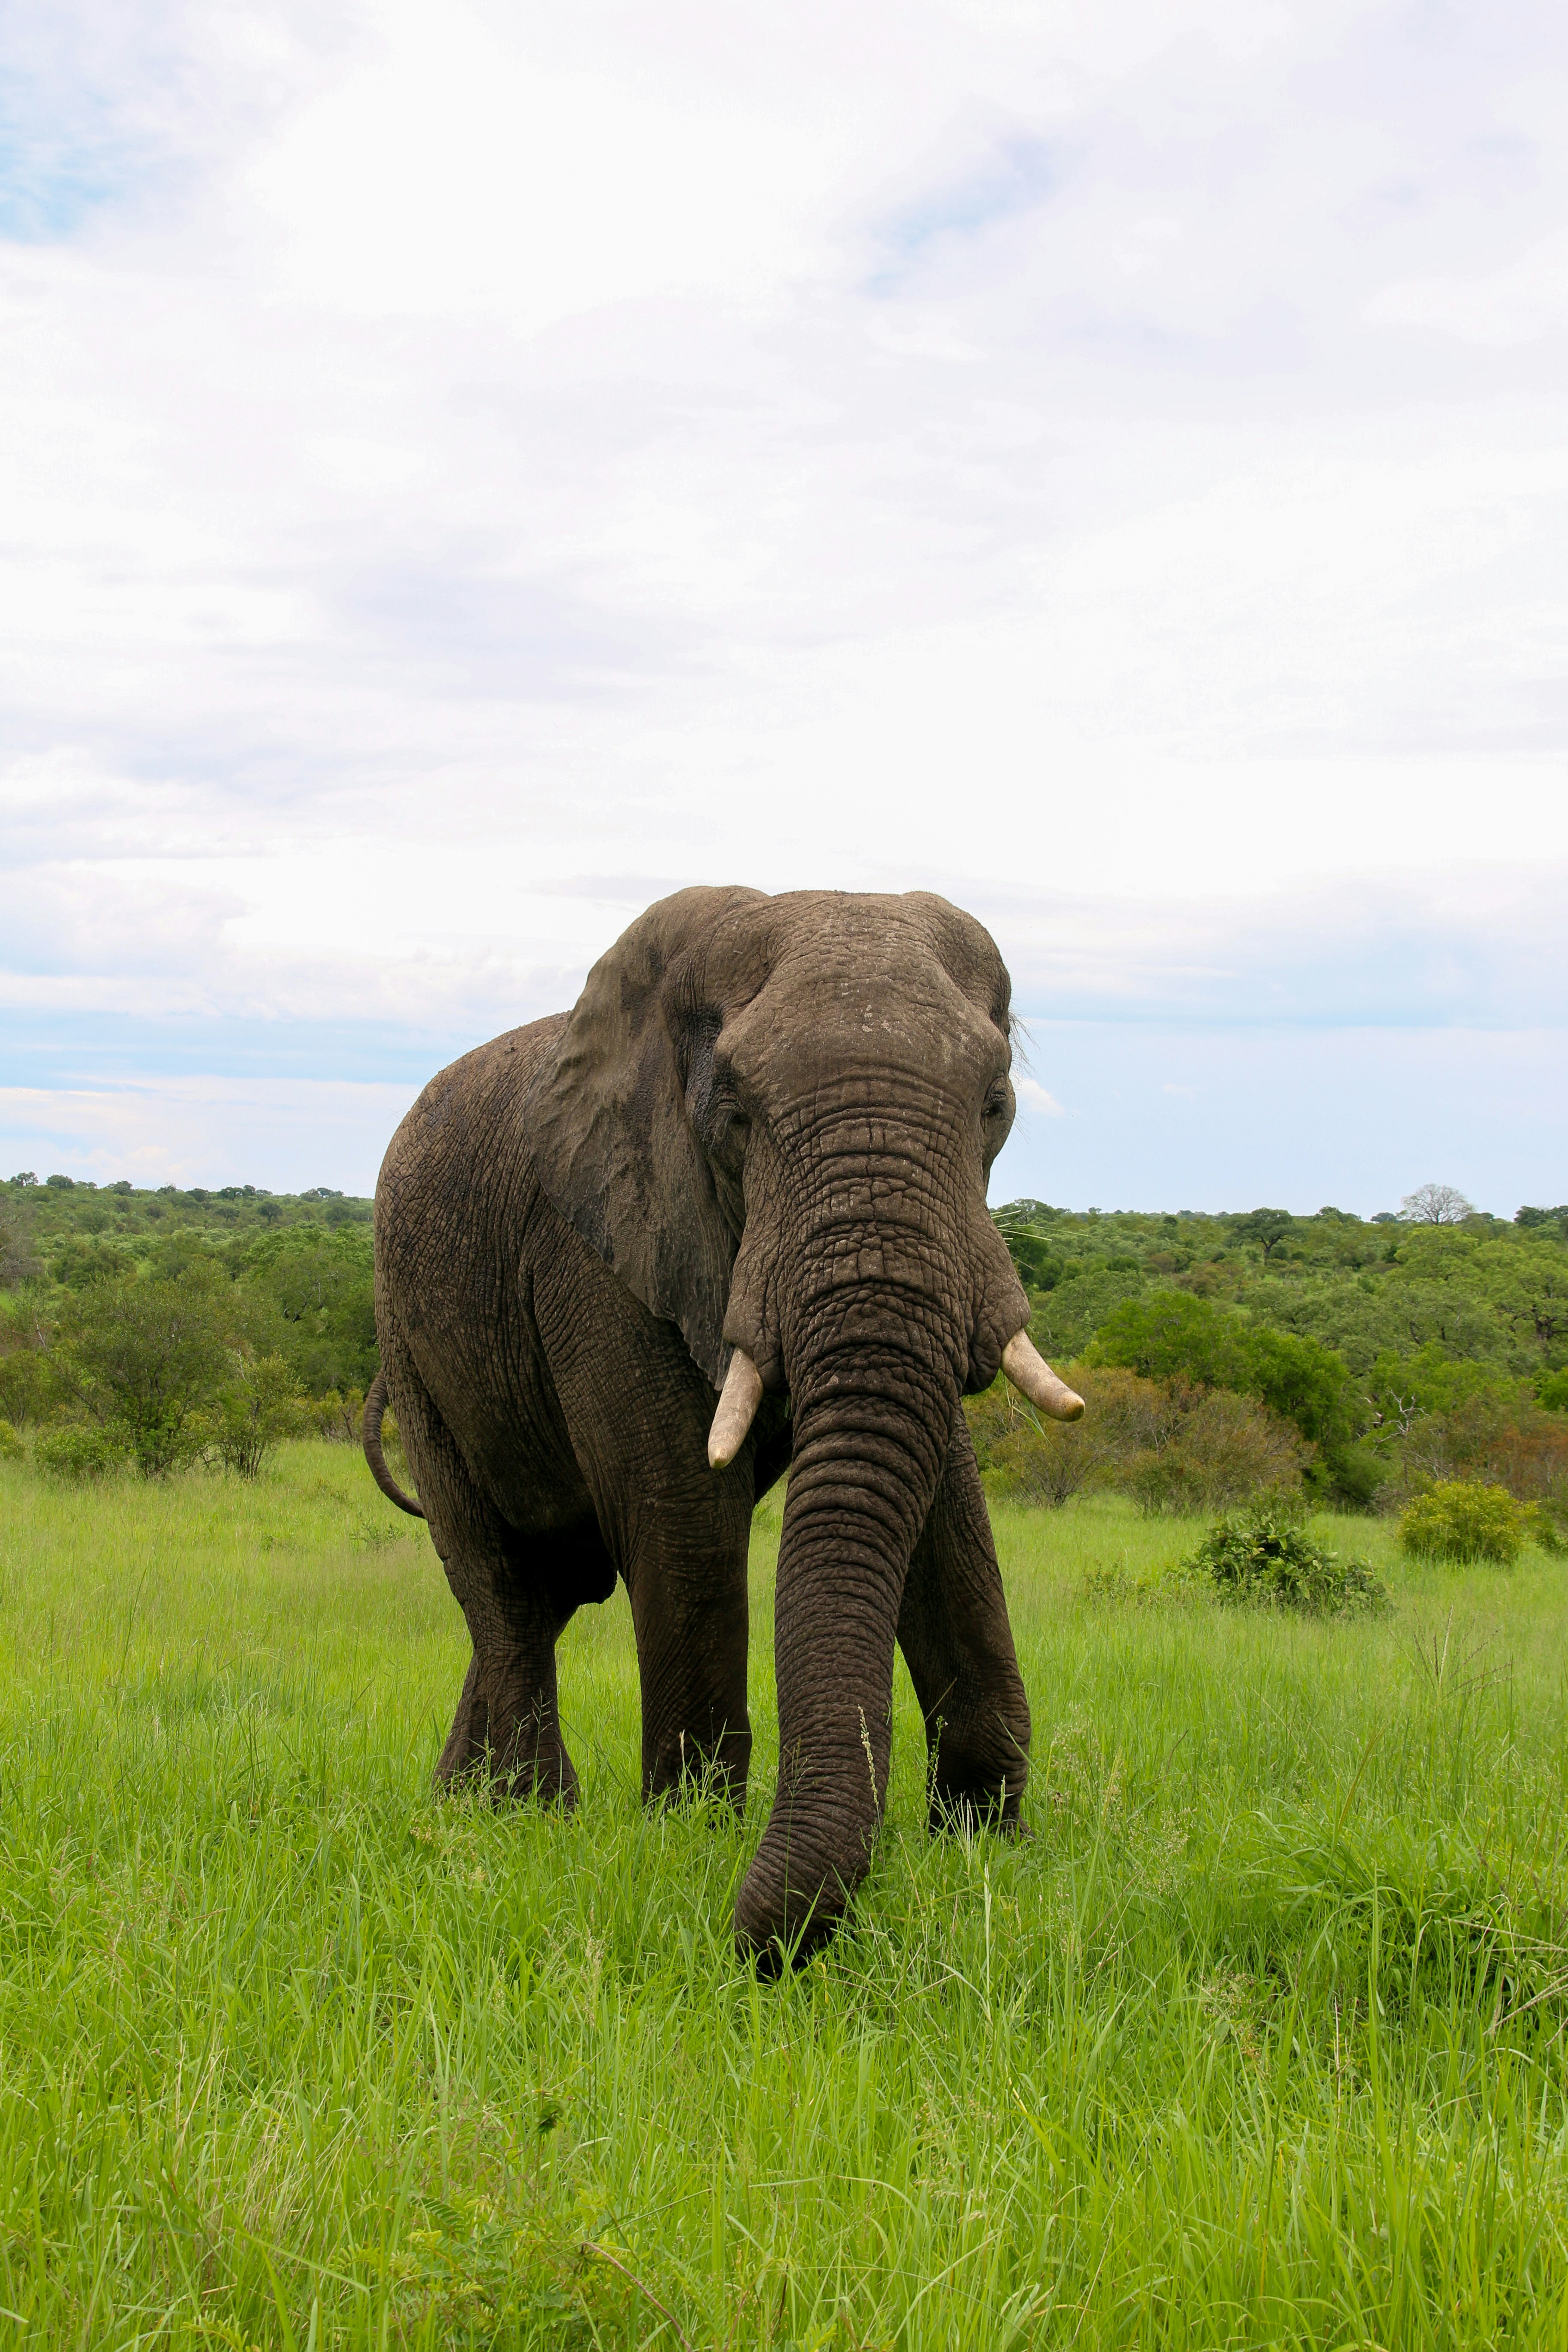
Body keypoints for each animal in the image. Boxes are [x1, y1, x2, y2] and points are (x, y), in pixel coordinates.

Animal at [363, 885, 1084, 1964]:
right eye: (735, 1116)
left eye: (995, 1103)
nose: (747, 1950)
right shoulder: (602, 1247)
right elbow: (683, 1516)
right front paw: (690, 1836)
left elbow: (945, 1506)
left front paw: (989, 1844)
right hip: (411, 1336)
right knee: (504, 1588)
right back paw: (532, 1819)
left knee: (544, 1595)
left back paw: (462, 1808)